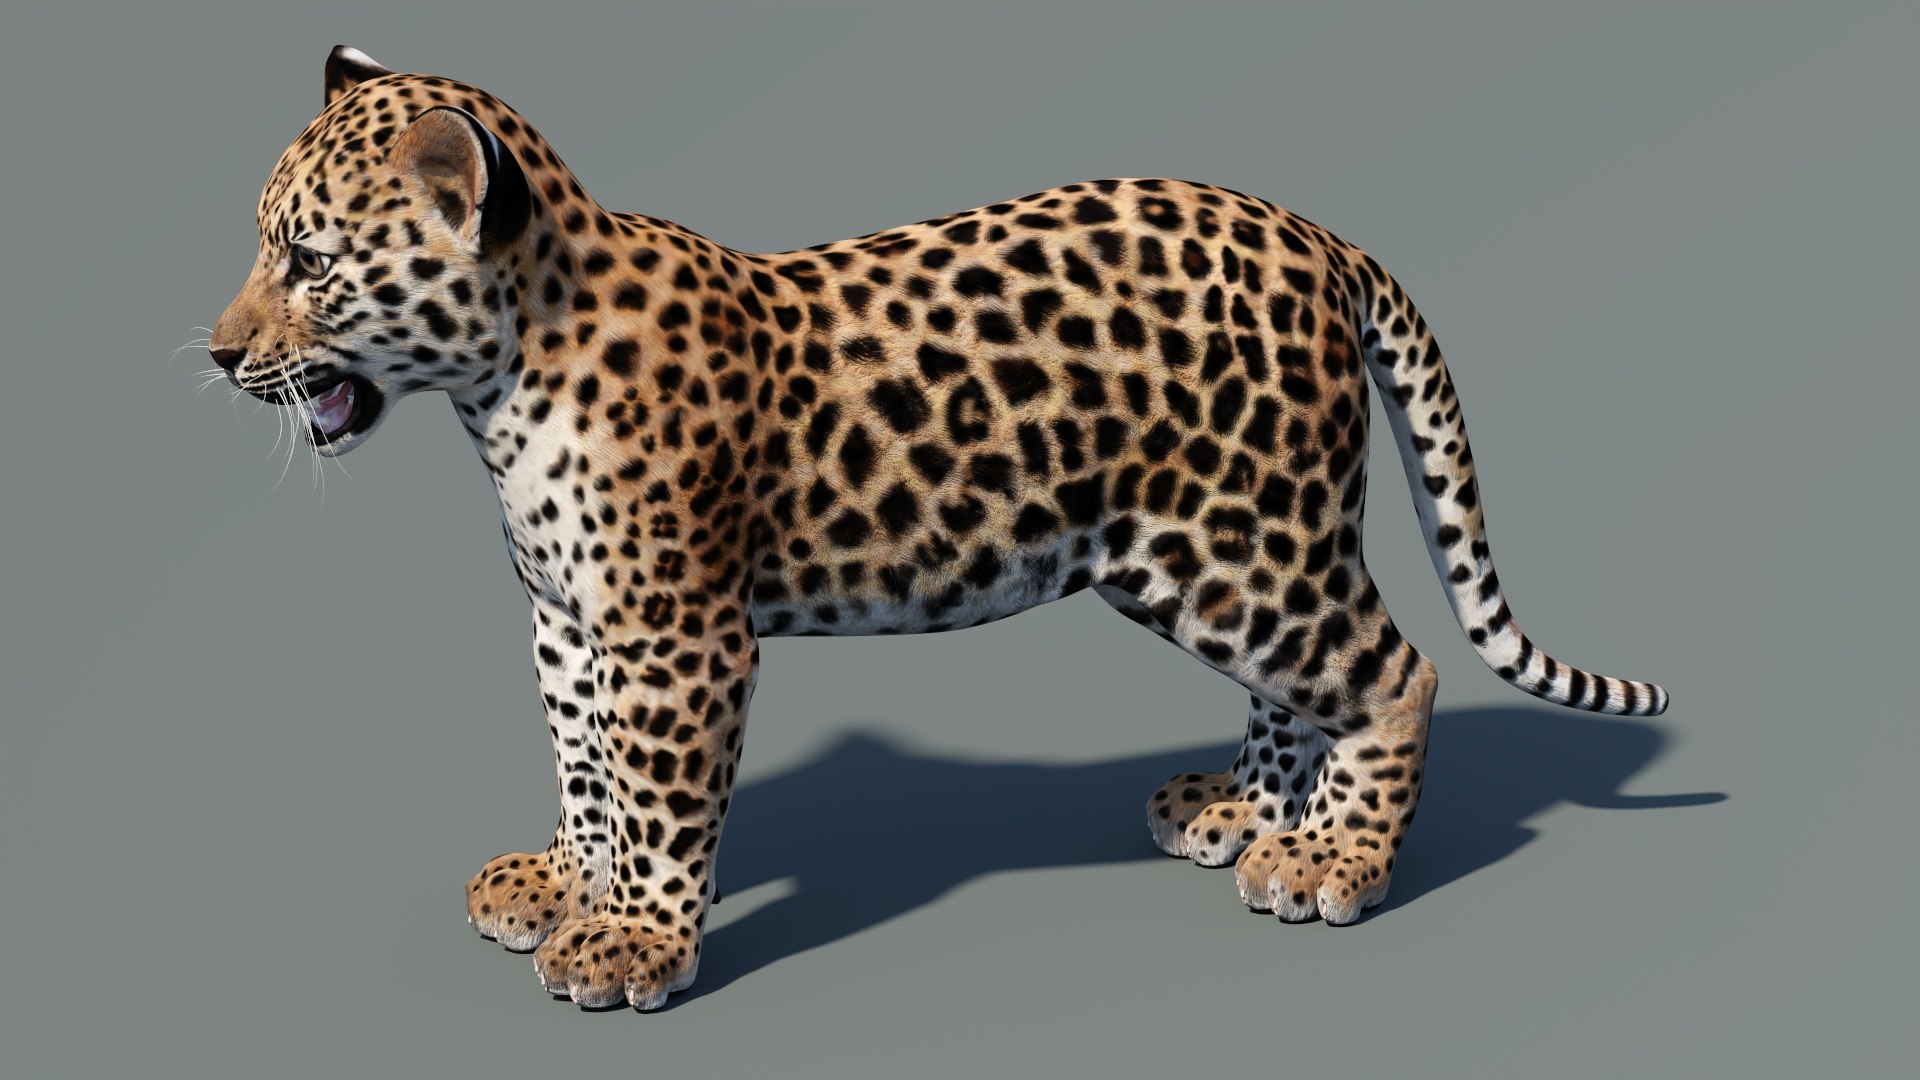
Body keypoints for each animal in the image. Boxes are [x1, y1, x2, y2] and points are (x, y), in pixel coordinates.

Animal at [205, 46, 1670, 1011]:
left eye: (309, 264)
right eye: (265, 246)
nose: (217, 356)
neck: (499, 388)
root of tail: (1316, 236)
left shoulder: (678, 636)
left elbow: (662, 796)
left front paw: (637, 944)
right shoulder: (569, 622)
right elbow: (584, 766)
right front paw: (567, 883)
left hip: (1239, 542)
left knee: (1390, 671)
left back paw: (1332, 860)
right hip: (1228, 543)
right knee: (1294, 685)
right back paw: (1242, 813)